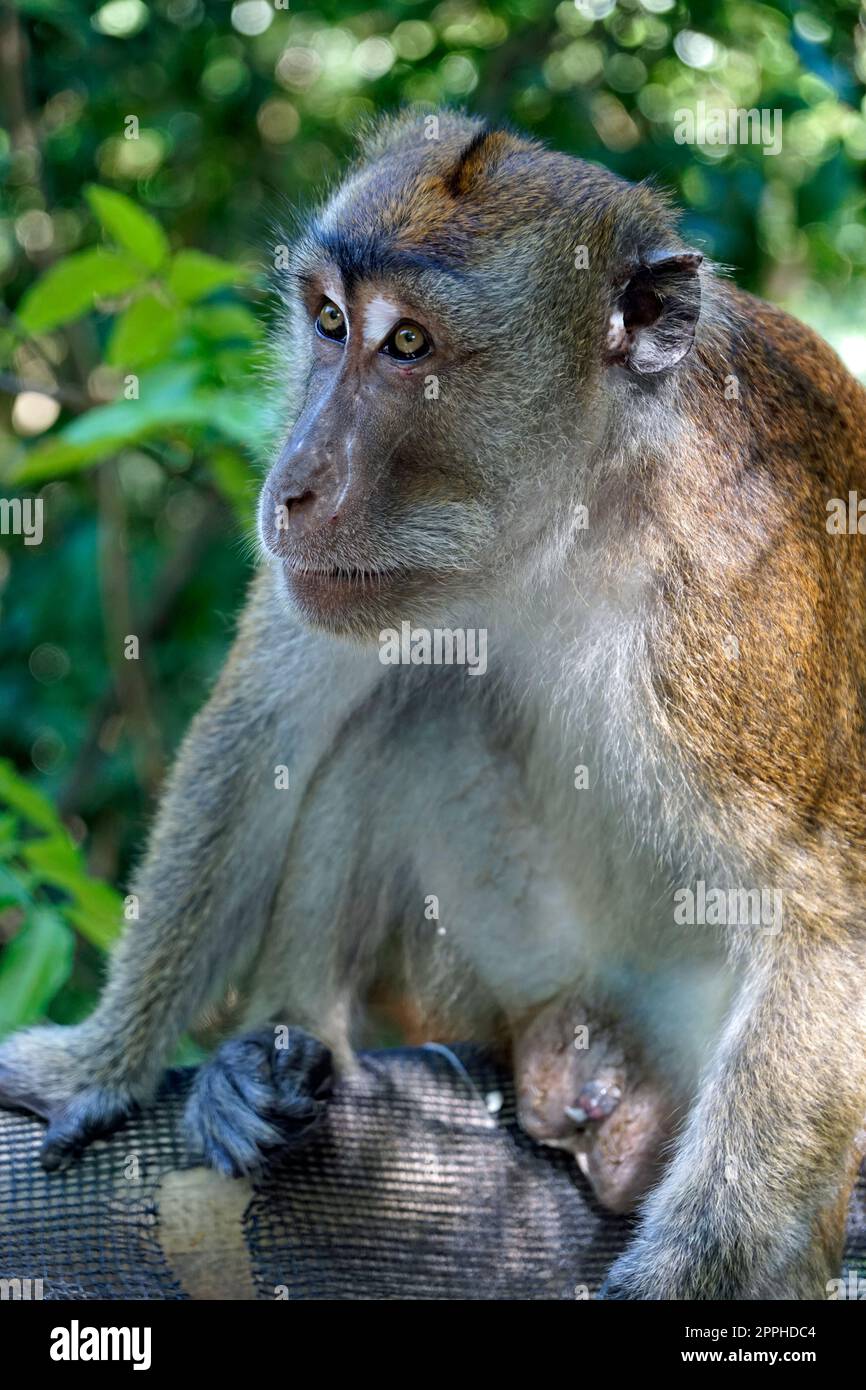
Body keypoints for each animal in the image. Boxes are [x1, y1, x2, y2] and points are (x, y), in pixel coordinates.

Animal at [2, 108, 866, 1300]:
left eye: (408, 345)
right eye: (328, 322)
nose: (291, 484)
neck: (573, 516)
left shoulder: (735, 601)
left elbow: (818, 912)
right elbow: (266, 728)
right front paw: (98, 1064)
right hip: (512, 982)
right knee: (402, 715)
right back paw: (279, 1059)